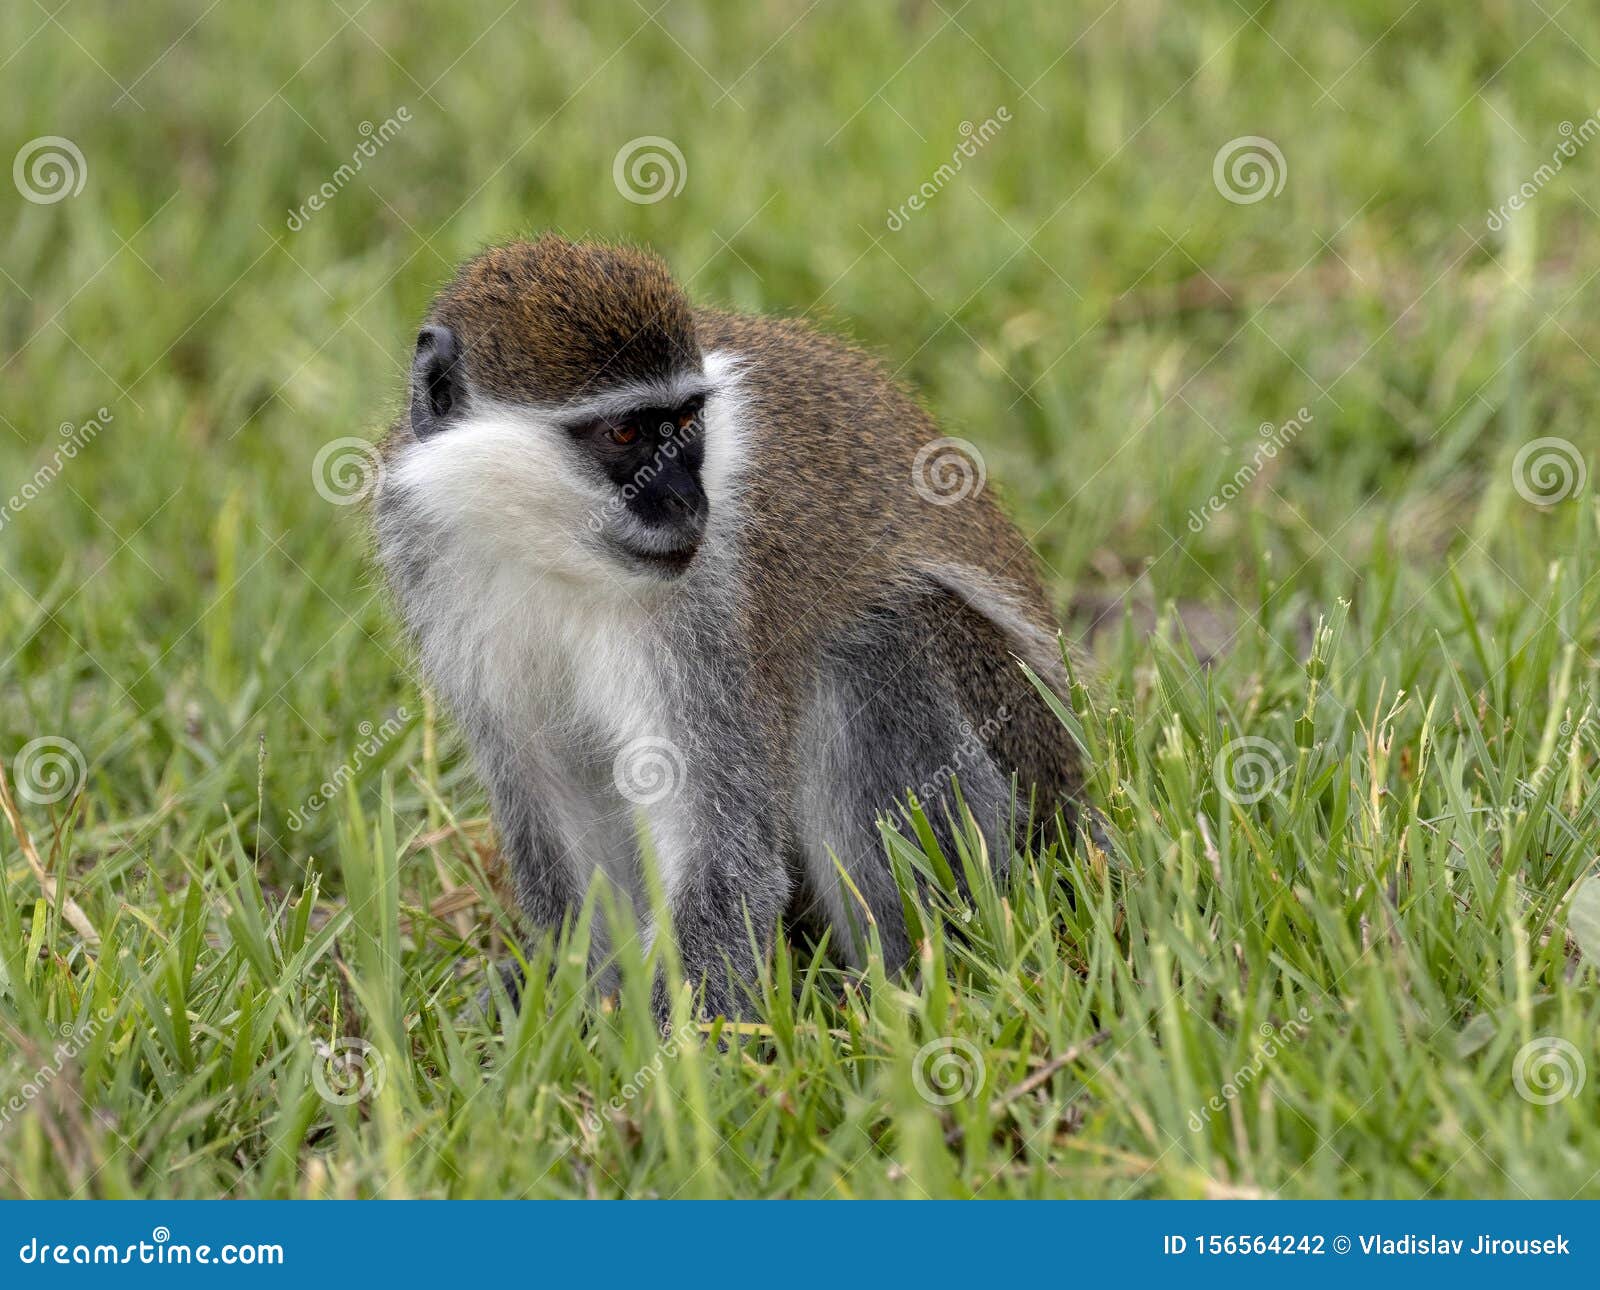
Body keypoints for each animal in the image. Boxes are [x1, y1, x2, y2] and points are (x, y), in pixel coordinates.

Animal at [373, 235, 1081, 1021]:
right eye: (625, 432)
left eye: (685, 425)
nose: (689, 504)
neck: (557, 552)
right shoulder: (430, 555)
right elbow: (560, 813)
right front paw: (568, 1010)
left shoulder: (708, 604)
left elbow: (723, 850)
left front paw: (669, 1049)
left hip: (1023, 756)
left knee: (880, 640)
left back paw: (904, 989)